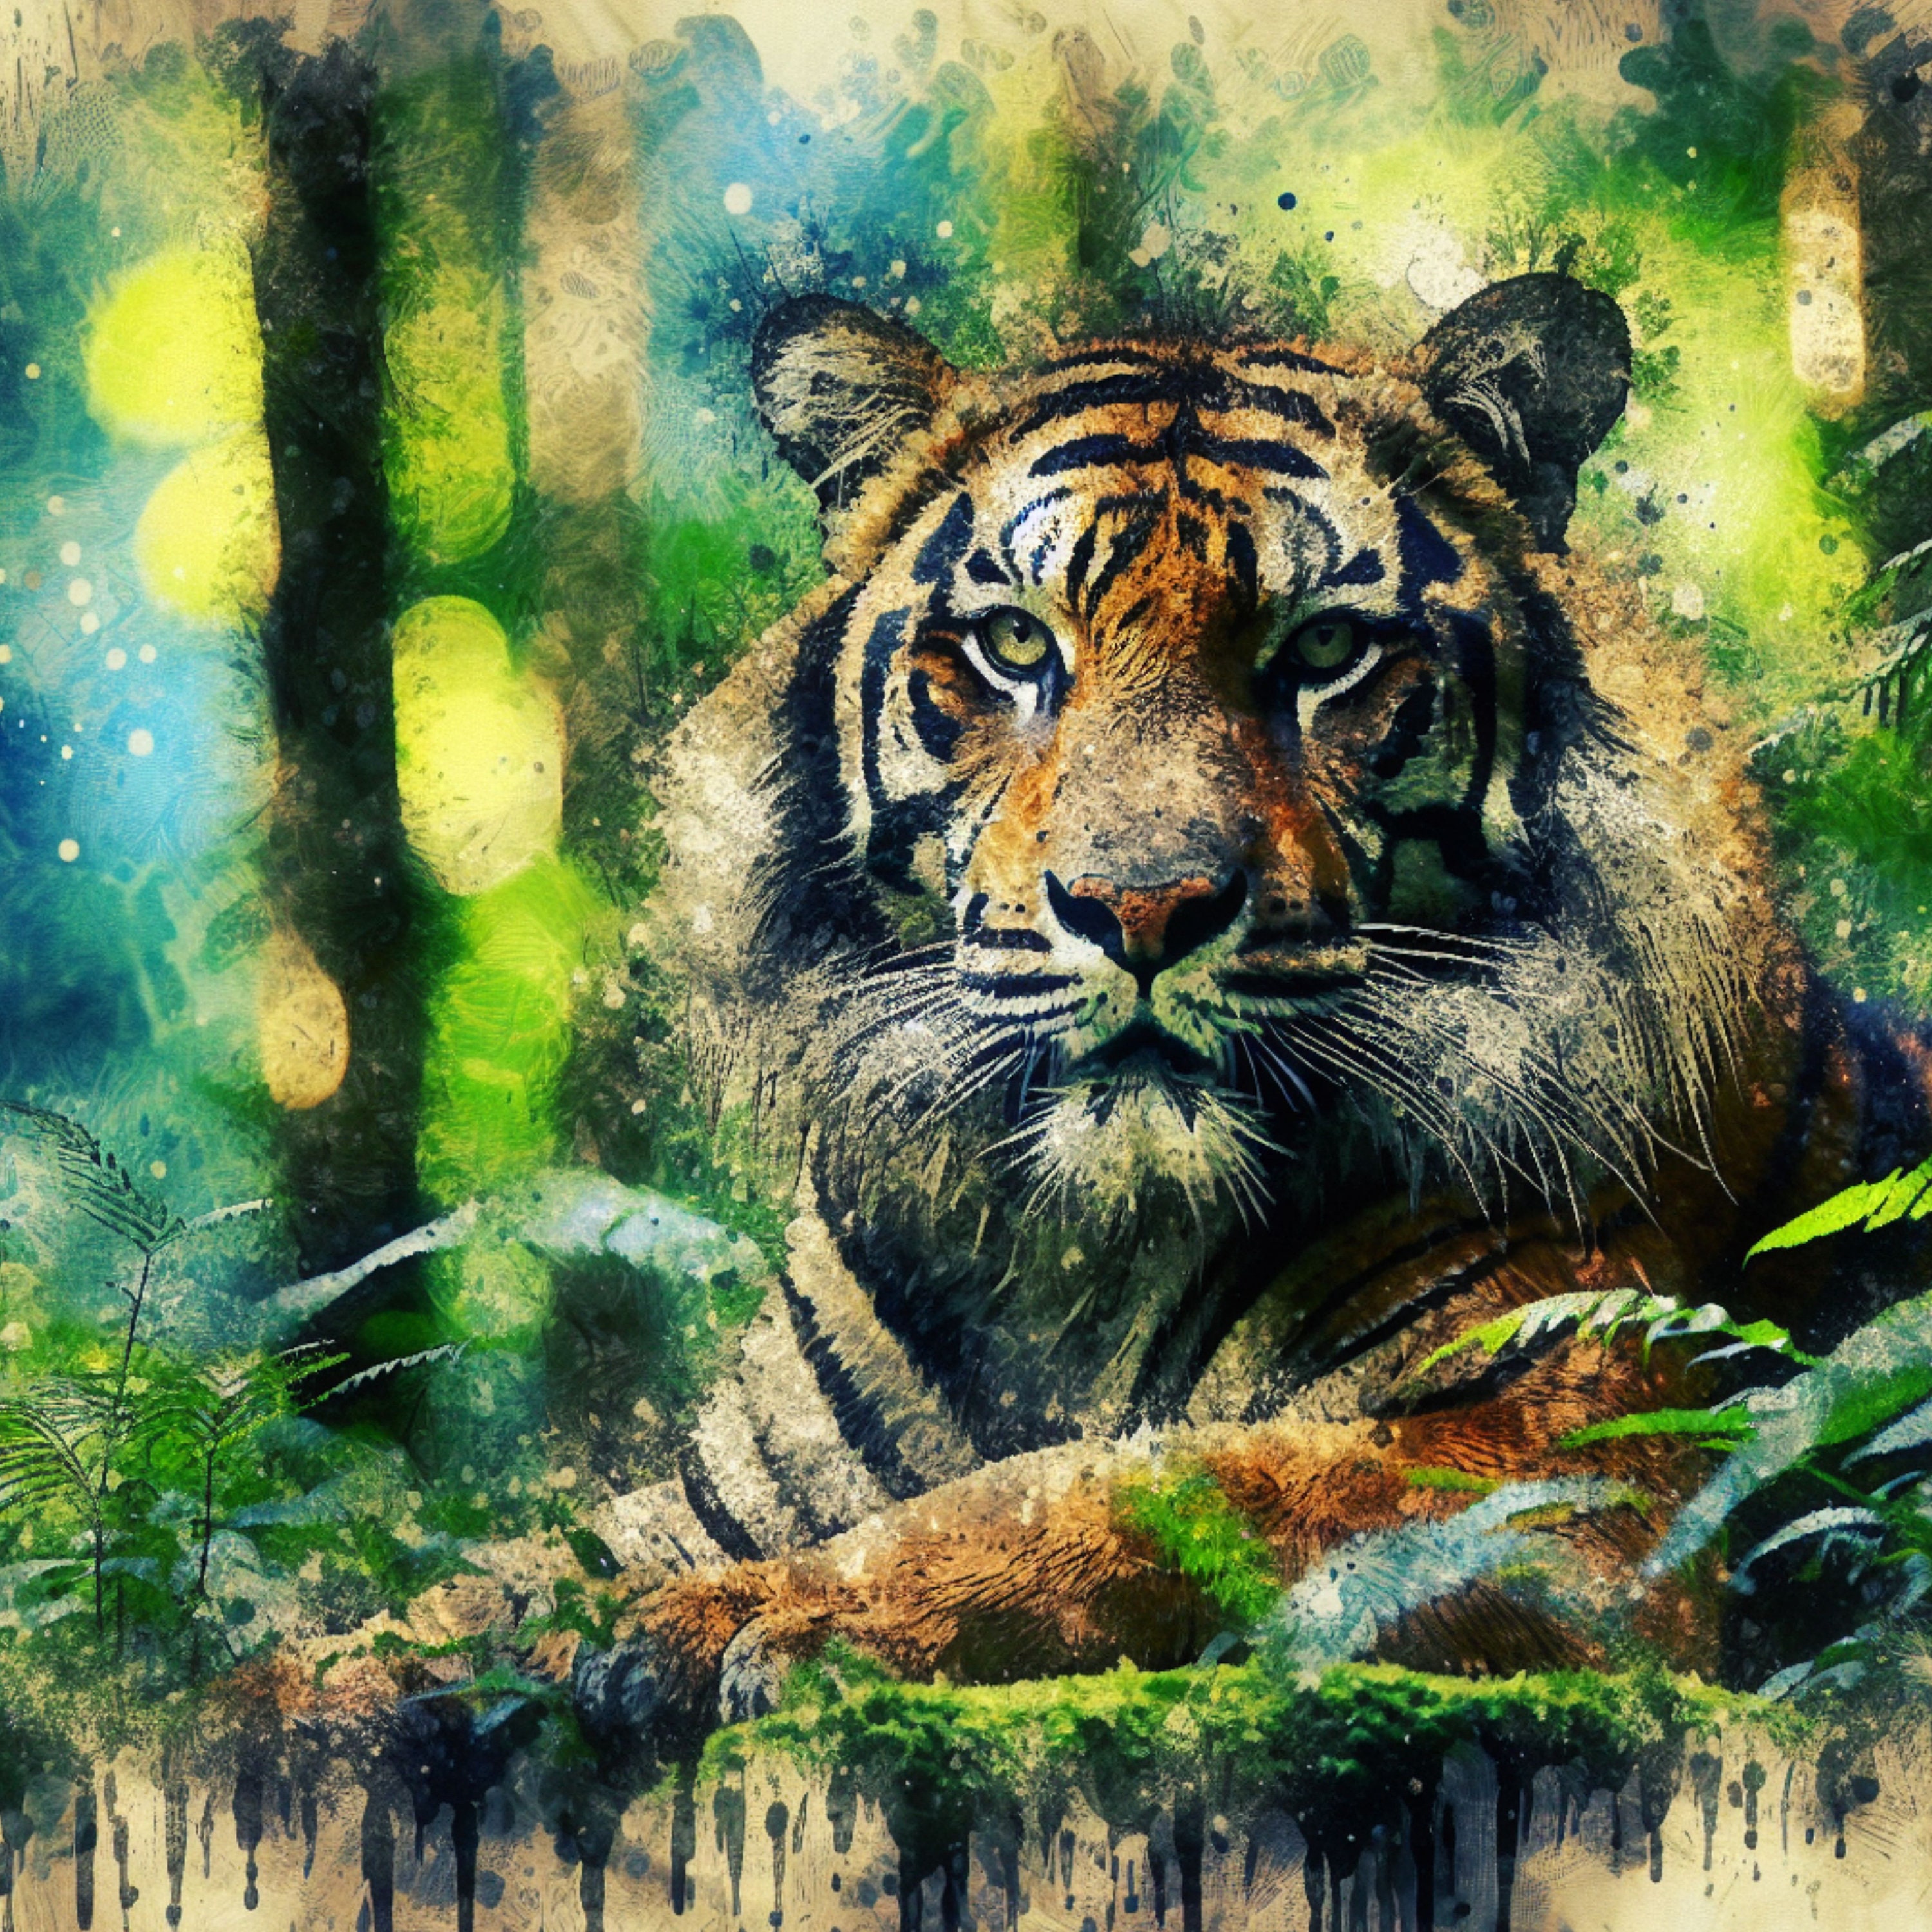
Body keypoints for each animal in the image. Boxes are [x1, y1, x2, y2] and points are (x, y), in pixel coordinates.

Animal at [575, 274, 1932, 1756]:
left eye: (1326, 649)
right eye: (1014, 645)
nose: (1142, 905)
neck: (1076, 1268)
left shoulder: (1561, 1478)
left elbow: (1134, 1489)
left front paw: (785, 1617)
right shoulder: (706, 1496)